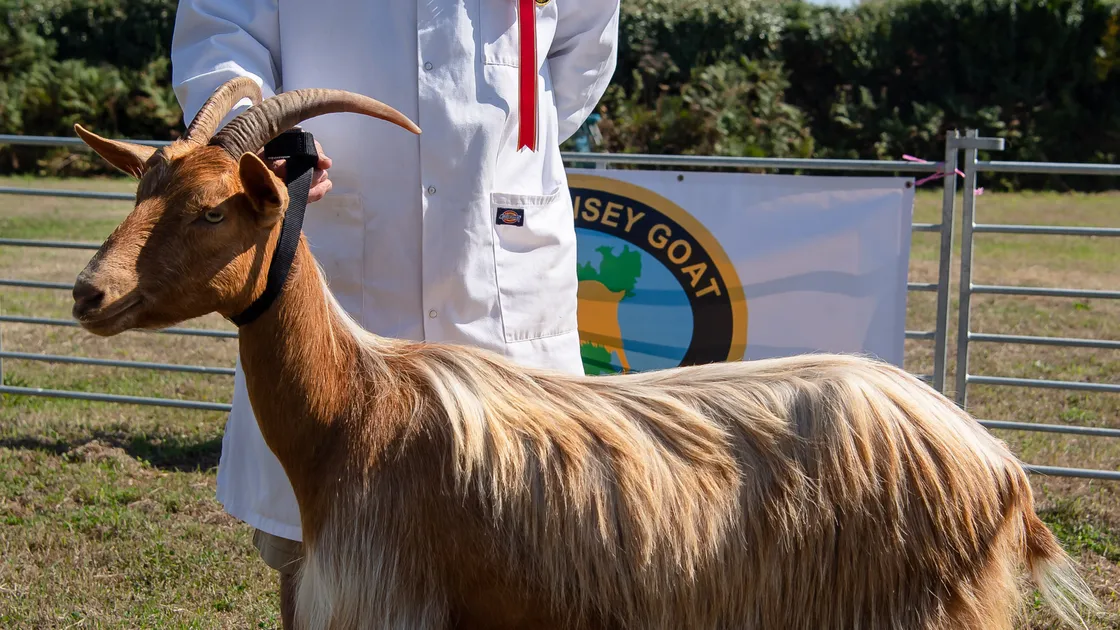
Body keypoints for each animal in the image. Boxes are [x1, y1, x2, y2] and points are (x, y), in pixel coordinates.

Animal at [69, 77, 1099, 630]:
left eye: (214, 210)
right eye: (140, 191)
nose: (89, 293)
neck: (361, 411)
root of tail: (997, 464)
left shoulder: (396, 601)